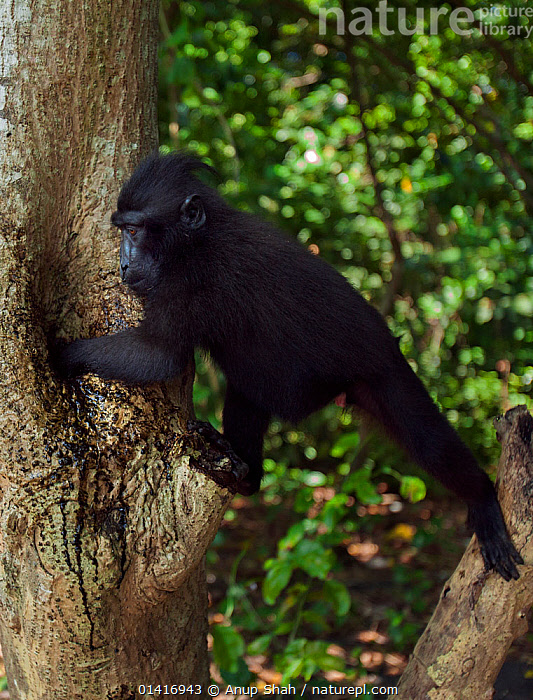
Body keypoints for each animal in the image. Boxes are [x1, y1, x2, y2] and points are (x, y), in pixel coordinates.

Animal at [58, 152, 523, 581]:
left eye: (134, 231)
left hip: (383, 373)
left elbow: (160, 356)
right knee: (247, 393)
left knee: (429, 442)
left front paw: (58, 353)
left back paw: (482, 497)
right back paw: (244, 472)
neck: (200, 238)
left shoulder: (187, 282)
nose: (123, 264)